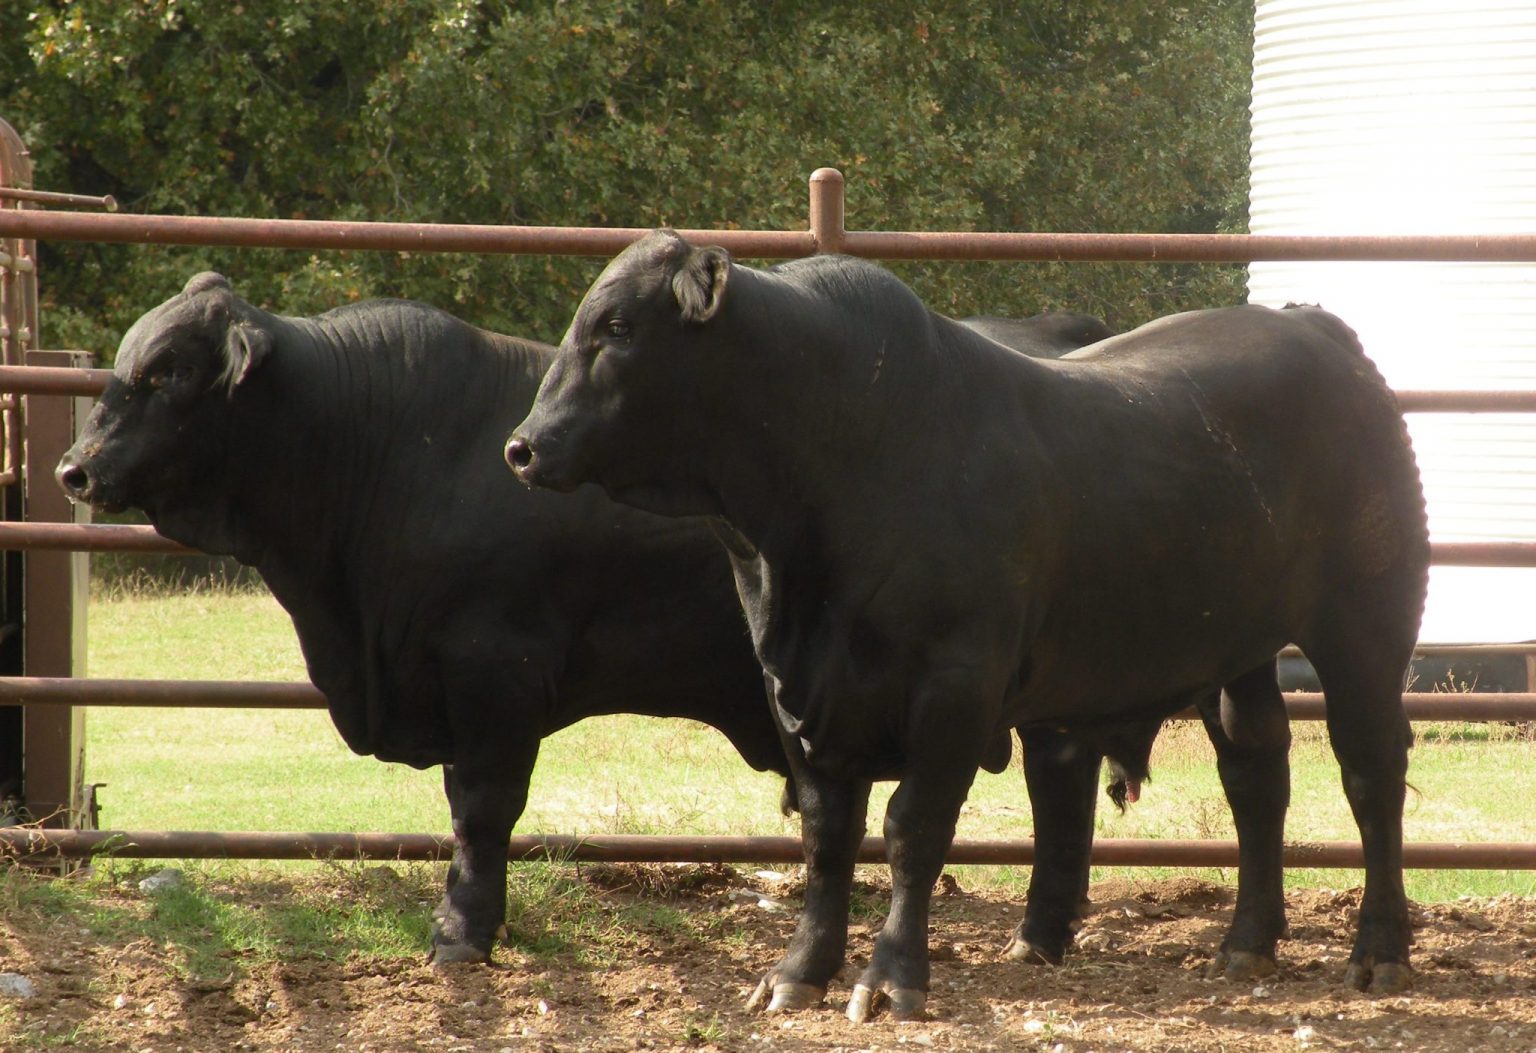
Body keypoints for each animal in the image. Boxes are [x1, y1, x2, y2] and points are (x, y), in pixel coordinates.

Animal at [52, 272, 1125, 974]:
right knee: (1063, 781)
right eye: (125, 365)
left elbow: (482, 811)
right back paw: (1045, 932)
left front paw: (462, 934)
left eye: (166, 374)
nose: (74, 469)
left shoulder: (494, 672)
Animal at [507, 230, 1430, 1021]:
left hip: (1366, 622)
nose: (523, 446)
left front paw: (890, 978)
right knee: (1255, 768)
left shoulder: (954, 683)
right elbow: (826, 834)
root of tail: (1311, 328)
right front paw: (798, 971)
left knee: (1370, 772)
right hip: (1239, 647)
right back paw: (1246, 941)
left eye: (618, 326)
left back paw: (1380, 949)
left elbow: (912, 829)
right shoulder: (795, 687)